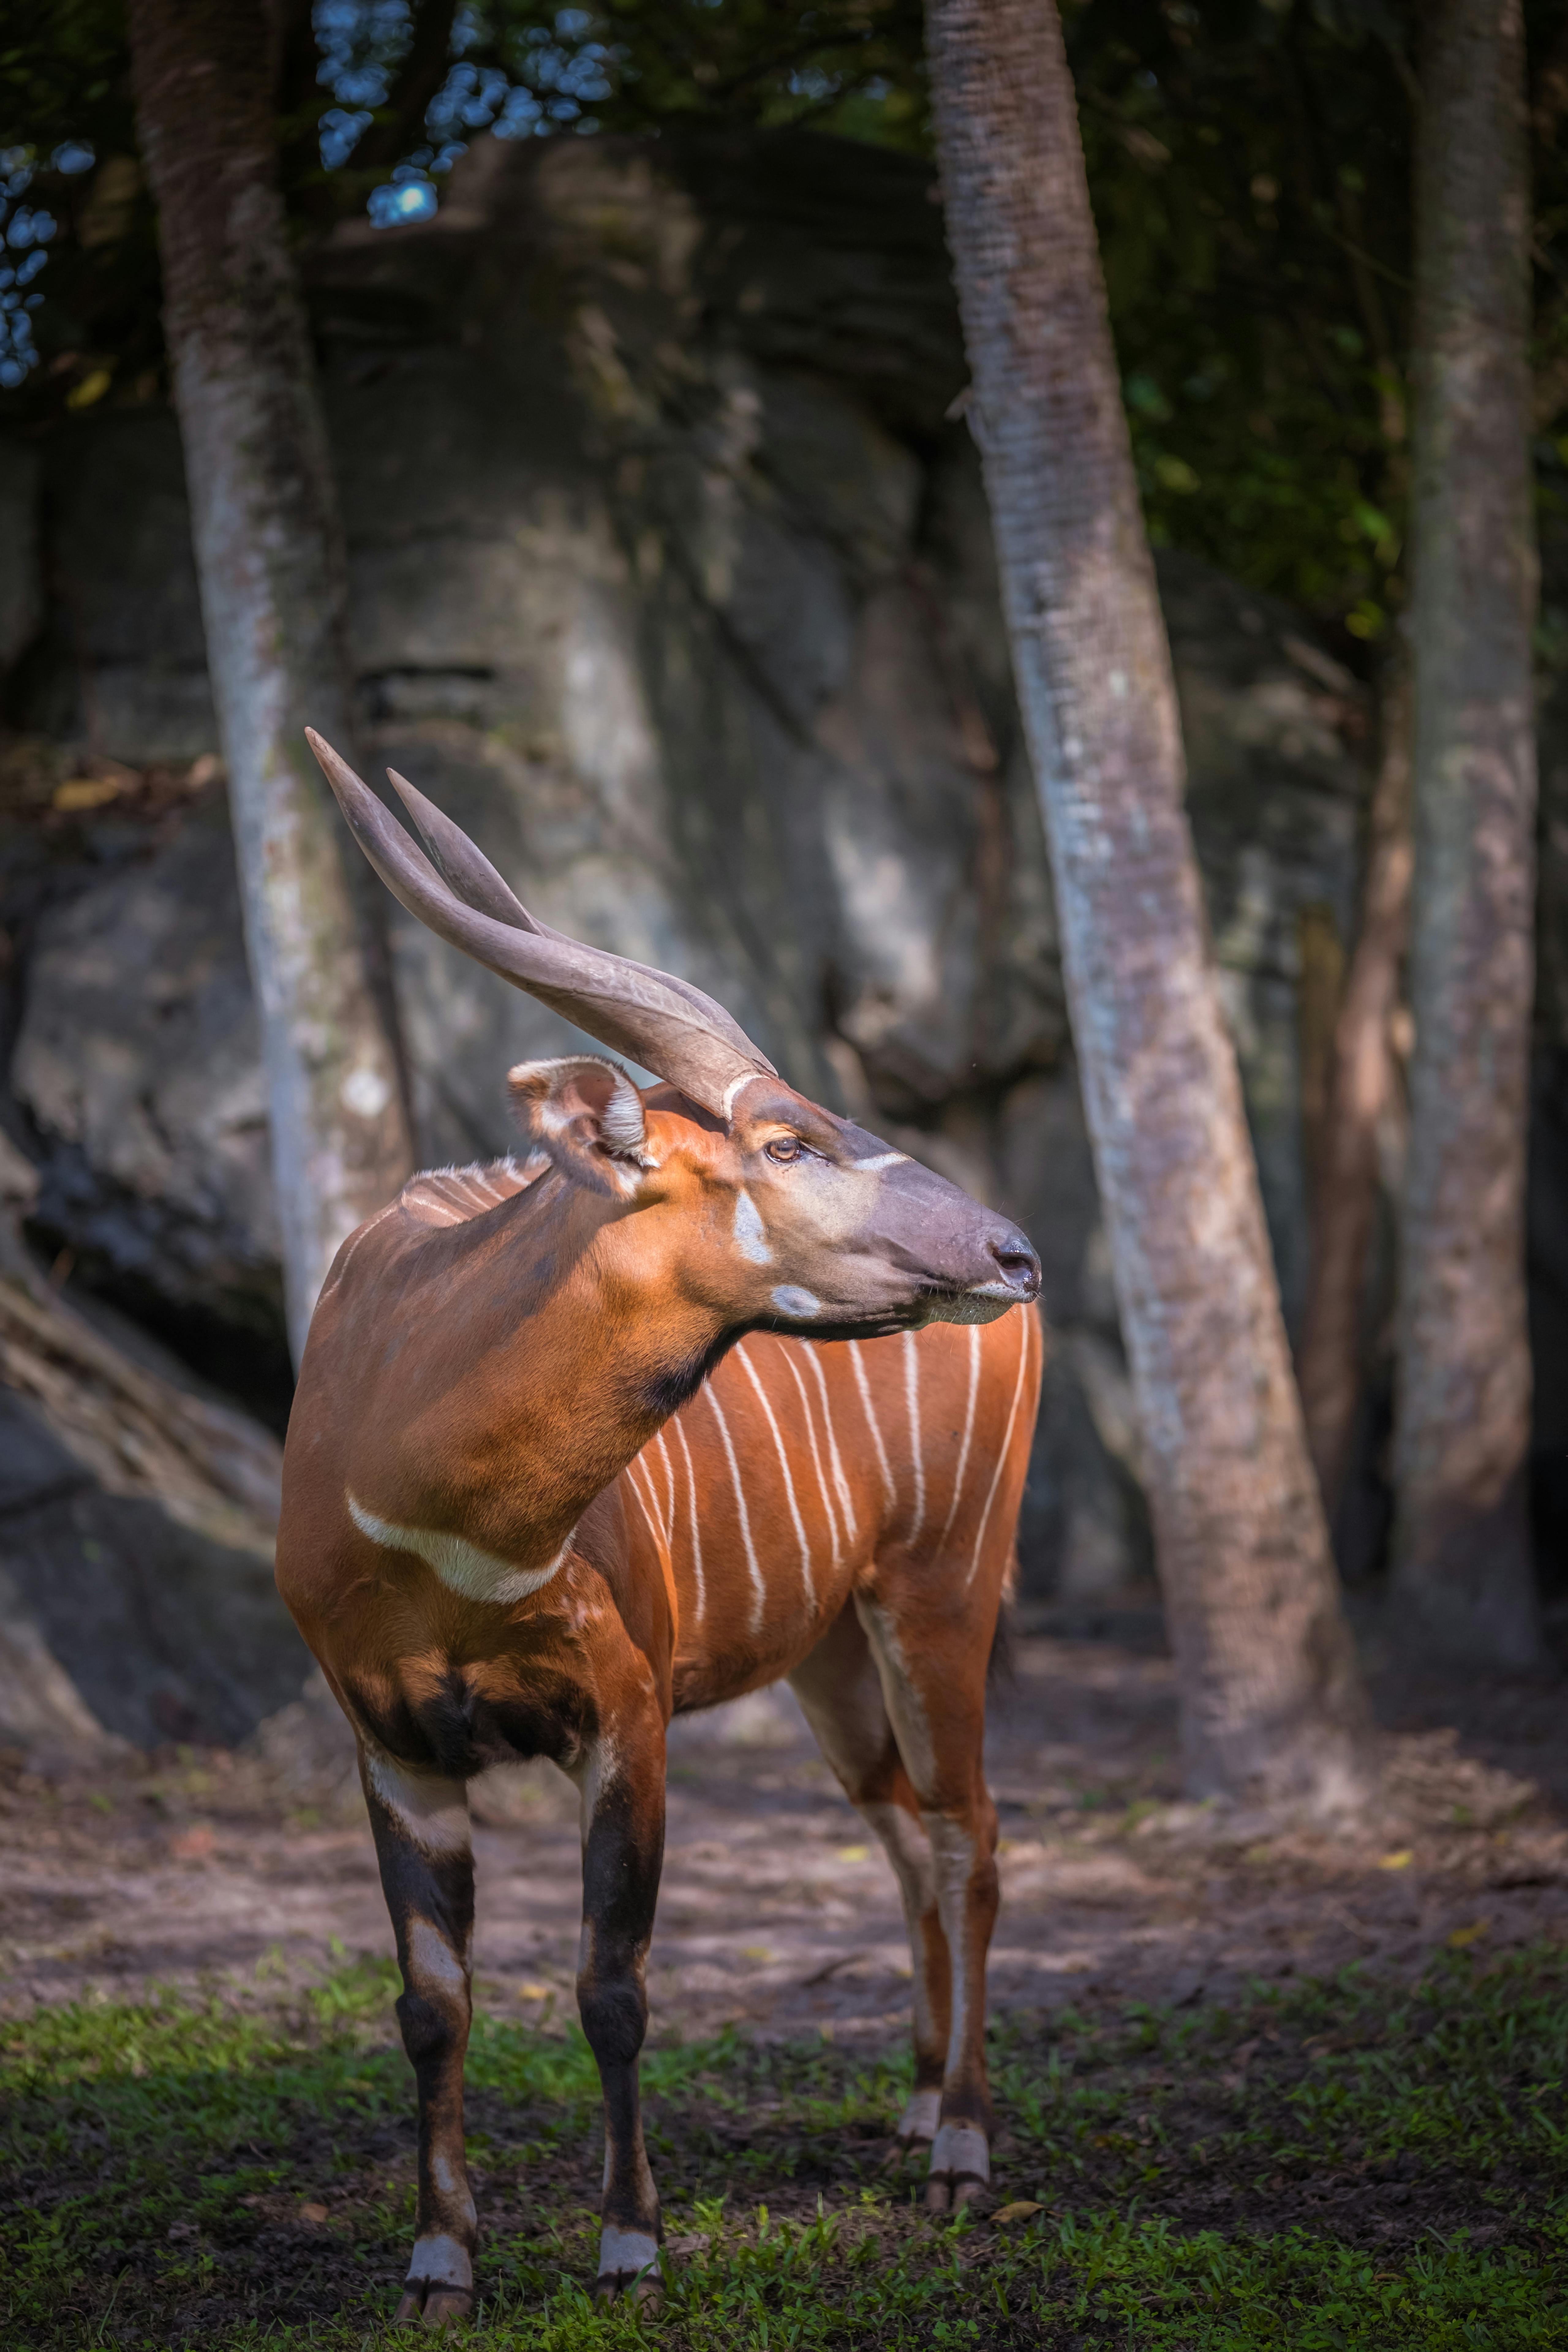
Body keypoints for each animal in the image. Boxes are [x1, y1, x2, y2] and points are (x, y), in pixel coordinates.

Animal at [277, 733, 1043, 2327]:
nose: (1012, 1252)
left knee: (969, 1833)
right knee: (897, 1831)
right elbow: (429, 2003)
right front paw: (437, 2264)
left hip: (941, 1593)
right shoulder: (387, 1740)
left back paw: (959, 2151)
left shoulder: (622, 1717)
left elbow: (611, 1983)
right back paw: (910, 2109)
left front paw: (629, 2242)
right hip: (826, 1656)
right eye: (784, 1138)